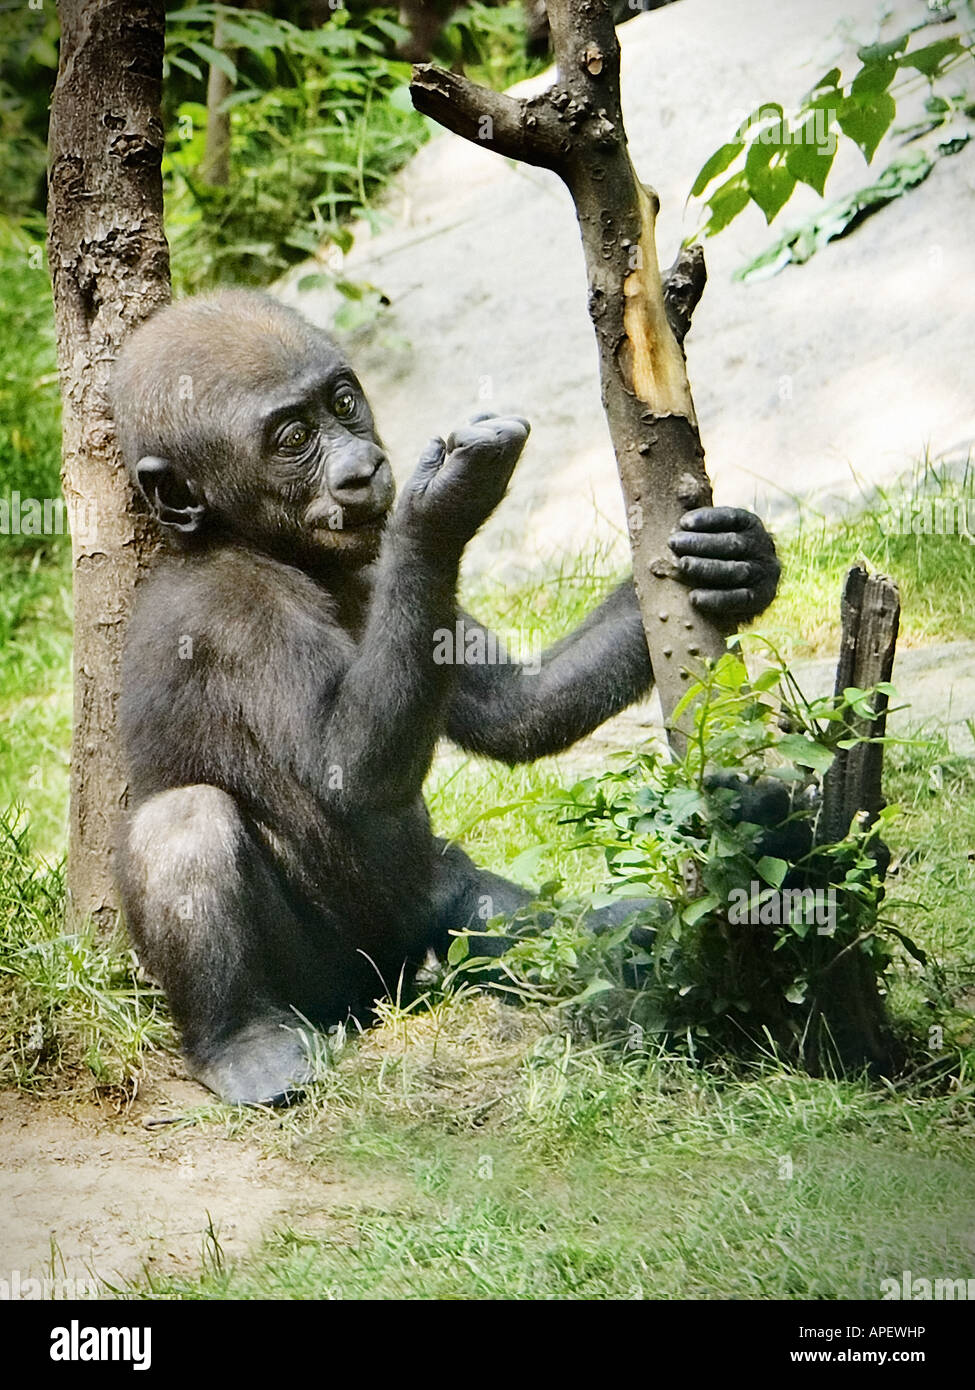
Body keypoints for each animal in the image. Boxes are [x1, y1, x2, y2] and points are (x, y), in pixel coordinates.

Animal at [109, 289, 781, 1105]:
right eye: (293, 439)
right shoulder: (228, 616)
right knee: (185, 819)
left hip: (439, 914)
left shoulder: (373, 566)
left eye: (343, 404)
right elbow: (348, 772)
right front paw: (443, 505)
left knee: (500, 916)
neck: (262, 546)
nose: (361, 470)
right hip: (325, 984)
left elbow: (515, 709)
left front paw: (740, 562)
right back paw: (243, 1040)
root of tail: (389, 989)